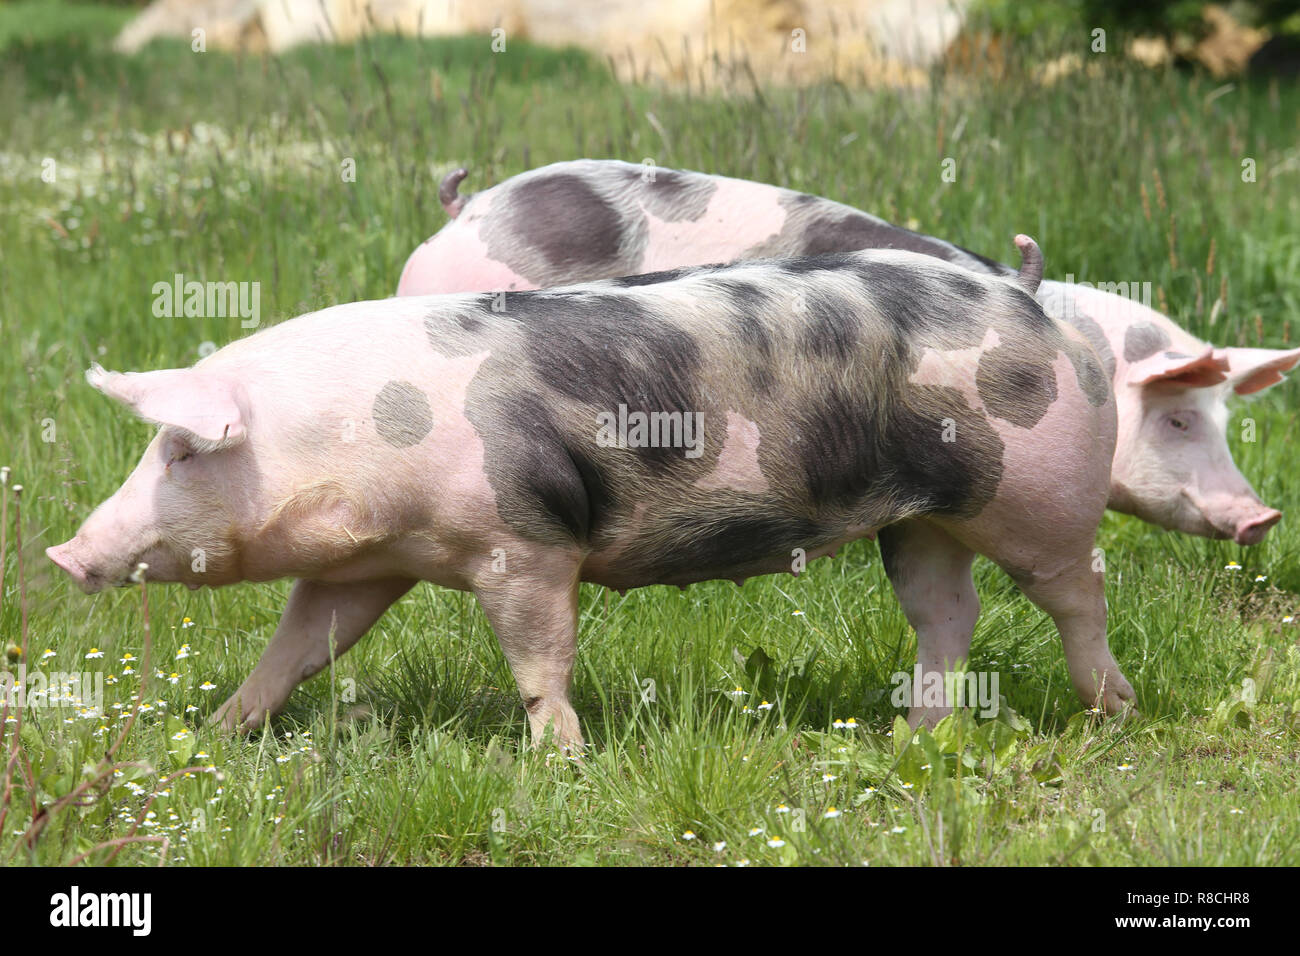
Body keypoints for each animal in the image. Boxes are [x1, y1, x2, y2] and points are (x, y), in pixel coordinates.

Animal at [47, 239, 1127, 743]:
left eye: (181, 453)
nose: (64, 552)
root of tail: (1031, 300)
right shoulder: (367, 564)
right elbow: (300, 647)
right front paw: (218, 730)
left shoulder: (526, 540)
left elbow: (539, 656)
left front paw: (558, 757)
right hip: (921, 519)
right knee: (949, 611)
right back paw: (917, 734)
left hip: (1040, 496)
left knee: (1079, 592)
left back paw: (1105, 709)